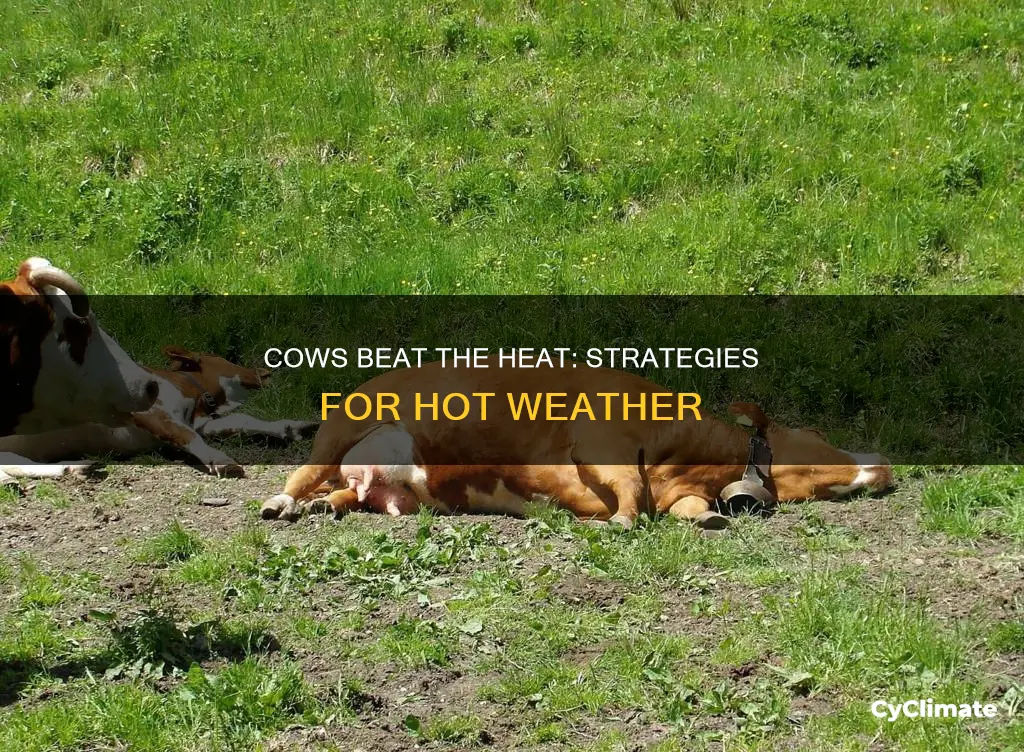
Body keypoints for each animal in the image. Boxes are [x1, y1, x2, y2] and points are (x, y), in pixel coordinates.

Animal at [0, 346, 318, 478]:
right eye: (226, 359)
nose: (267, 369)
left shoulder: (203, 421)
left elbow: (242, 420)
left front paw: (292, 426)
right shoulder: (153, 413)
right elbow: (187, 436)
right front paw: (221, 460)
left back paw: (76, 467)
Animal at [259, 358, 893, 528]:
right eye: (817, 437)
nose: (884, 464)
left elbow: (684, 508)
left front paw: (707, 518)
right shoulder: (598, 440)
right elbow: (628, 485)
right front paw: (623, 522)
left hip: (377, 485)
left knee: (343, 495)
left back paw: (323, 509)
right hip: (338, 432)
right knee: (301, 476)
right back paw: (280, 504)